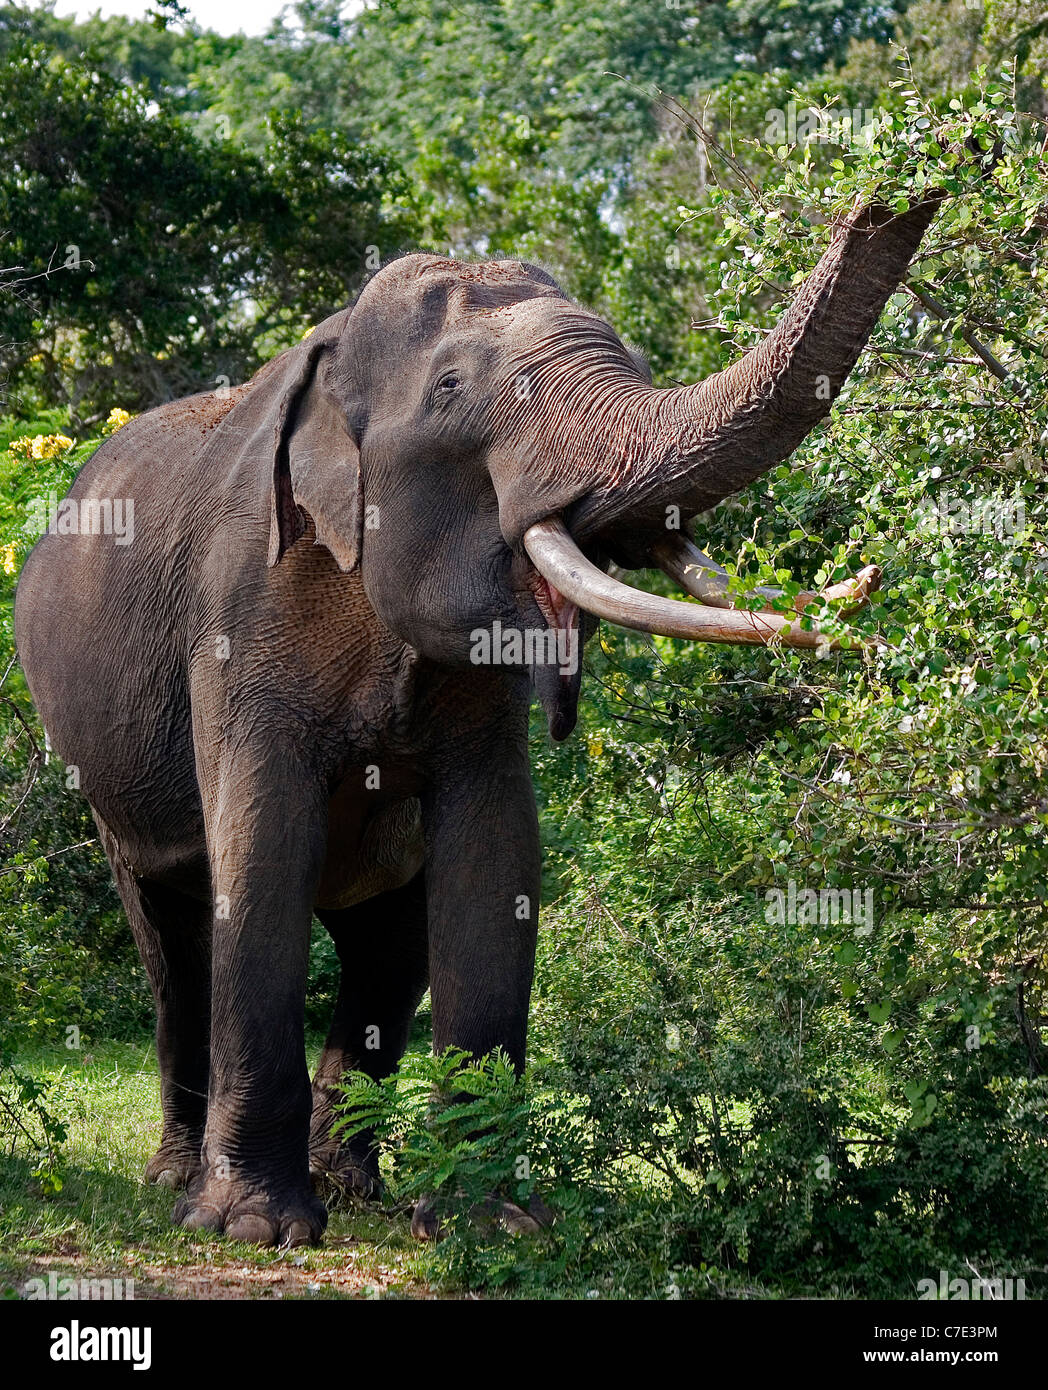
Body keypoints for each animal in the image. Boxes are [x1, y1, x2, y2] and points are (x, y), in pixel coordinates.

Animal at [13, 190, 942, 1247]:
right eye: (453, 387)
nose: (894, 197)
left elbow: (495, 857)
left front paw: (488, 1226)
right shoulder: (240, 613)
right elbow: (263, 848)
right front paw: (253, 1231)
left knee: (386, 945)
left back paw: (351, 1186)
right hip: (100, 771)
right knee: (171, 939)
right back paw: (180, 1180)